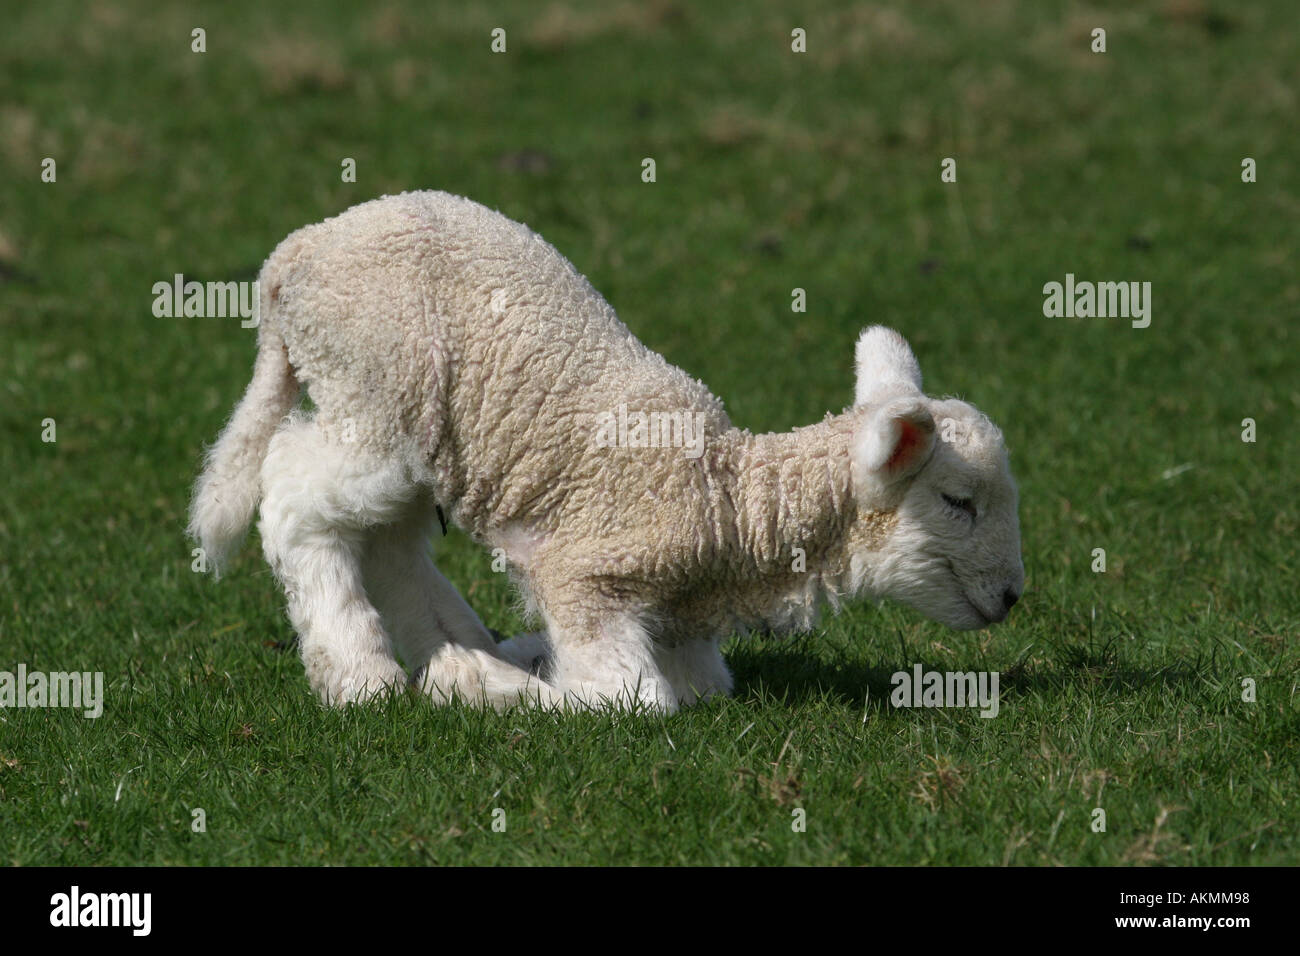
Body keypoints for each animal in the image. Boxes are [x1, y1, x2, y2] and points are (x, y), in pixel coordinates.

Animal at [189, 190, 1024, 713]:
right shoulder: (586, 576)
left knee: (387, 537)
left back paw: (448, 644)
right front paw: (475, 686)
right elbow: (633, 700)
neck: (730, 505)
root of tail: (291, 257)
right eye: (957, 502)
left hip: (416, 428)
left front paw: (514, 657)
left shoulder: (681, 625)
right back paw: (363, 674)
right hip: (374, 392)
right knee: (294, 490)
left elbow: (702, 686)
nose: (1015, 597)